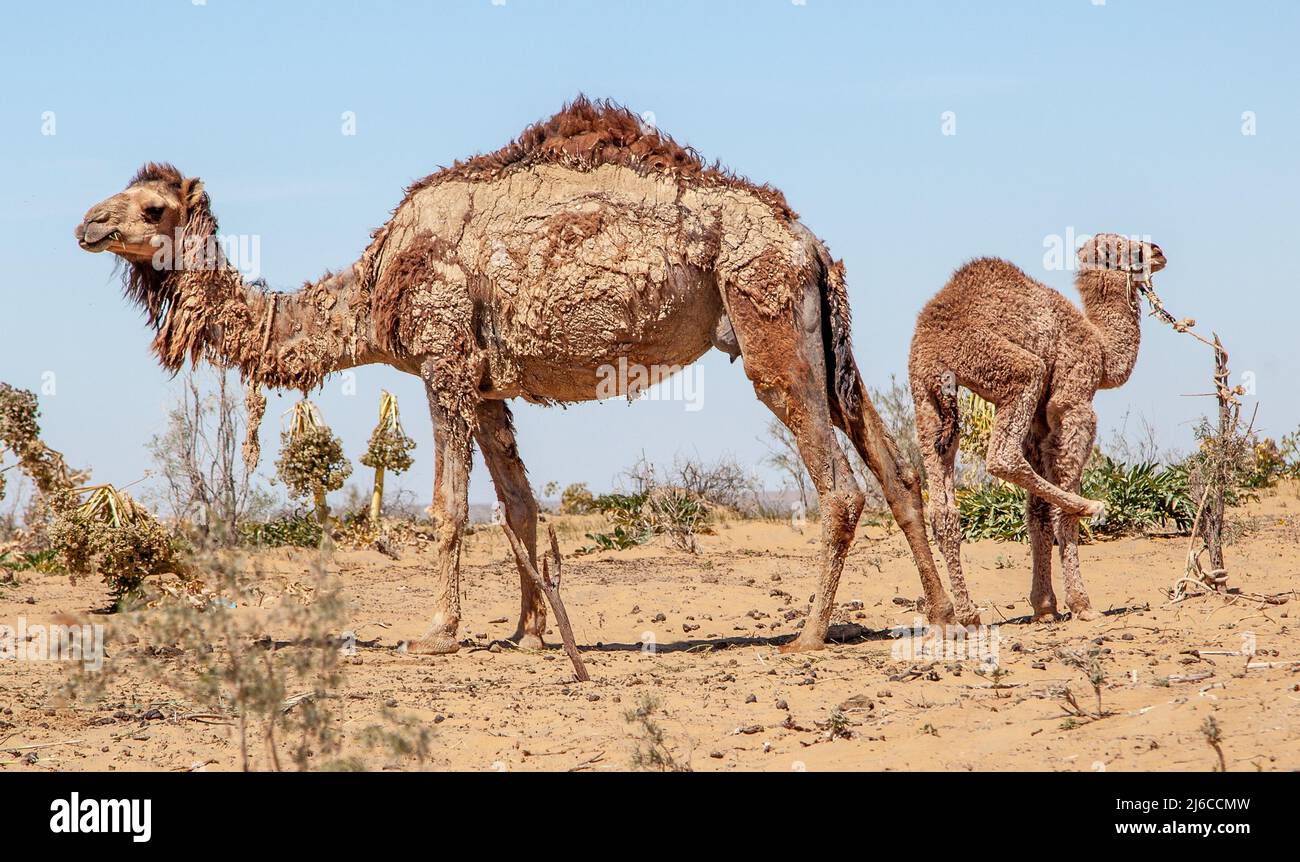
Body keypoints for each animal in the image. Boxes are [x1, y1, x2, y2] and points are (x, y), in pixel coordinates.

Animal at [74, 97, 959, 654]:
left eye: (152, 209)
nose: (86, 223)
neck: (375, 286)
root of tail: (807, 239)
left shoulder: (441, 362)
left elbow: (447, 509)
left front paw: (437, 633)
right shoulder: (487, 383)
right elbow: (519, 509)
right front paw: (528, 633)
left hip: (766, 317)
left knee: (838, 484)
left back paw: (807, 634)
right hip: (823, 341)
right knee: (891, 462)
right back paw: (942, 612)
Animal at [908, 234, 1166, 623]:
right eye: (1124, 246)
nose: (1157, 251)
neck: (1101, 349)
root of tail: (931, 345)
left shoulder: (1039, 422)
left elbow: (1038, 512)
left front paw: (1044, 606)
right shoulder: (1073, 399)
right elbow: (1059, 513)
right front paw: (1081, 604)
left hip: (925, 397)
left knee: (944, 512)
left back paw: (967, 614)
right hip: (1009, 365)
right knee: (1002, 456)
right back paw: (1088, 505)